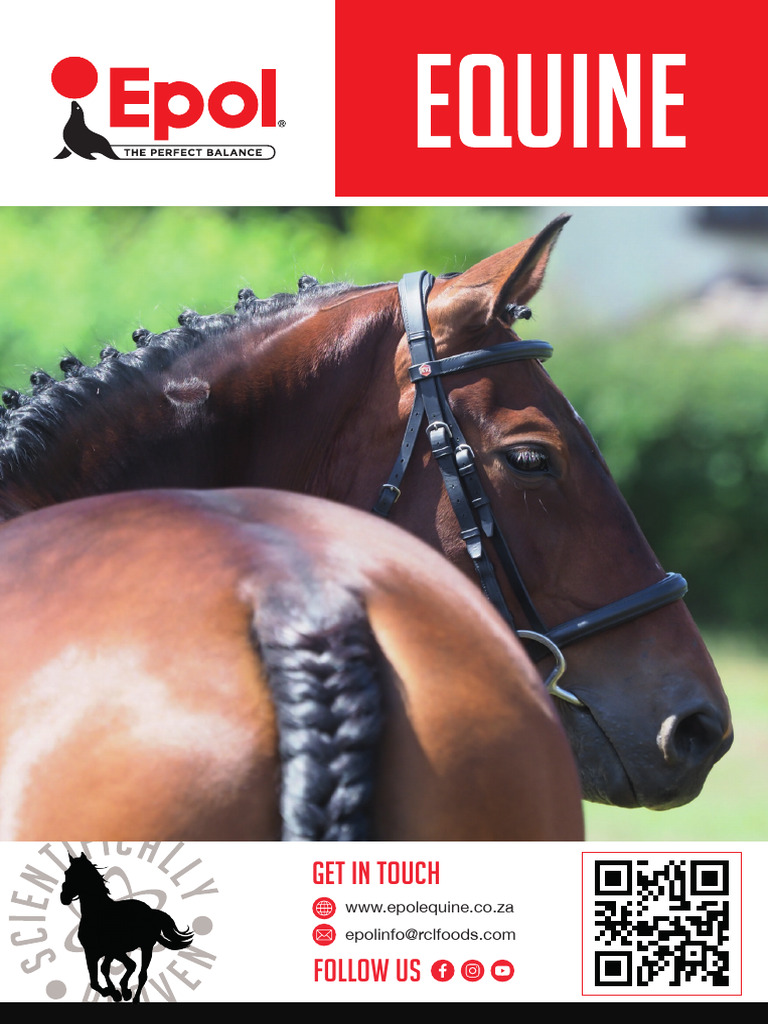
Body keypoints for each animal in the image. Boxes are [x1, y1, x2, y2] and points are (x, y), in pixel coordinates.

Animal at [60, 852, 194, 1002]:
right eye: (67, 873)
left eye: (79, 874)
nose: (64, 897)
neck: (98, 914)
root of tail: (151, 911)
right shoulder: (91, 952)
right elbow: (96, 980)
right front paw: (113, 992)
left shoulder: (114, 950)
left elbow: (119, 967)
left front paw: (119, 992)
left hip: (146, 946)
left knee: (141, 974)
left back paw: (133, 997)